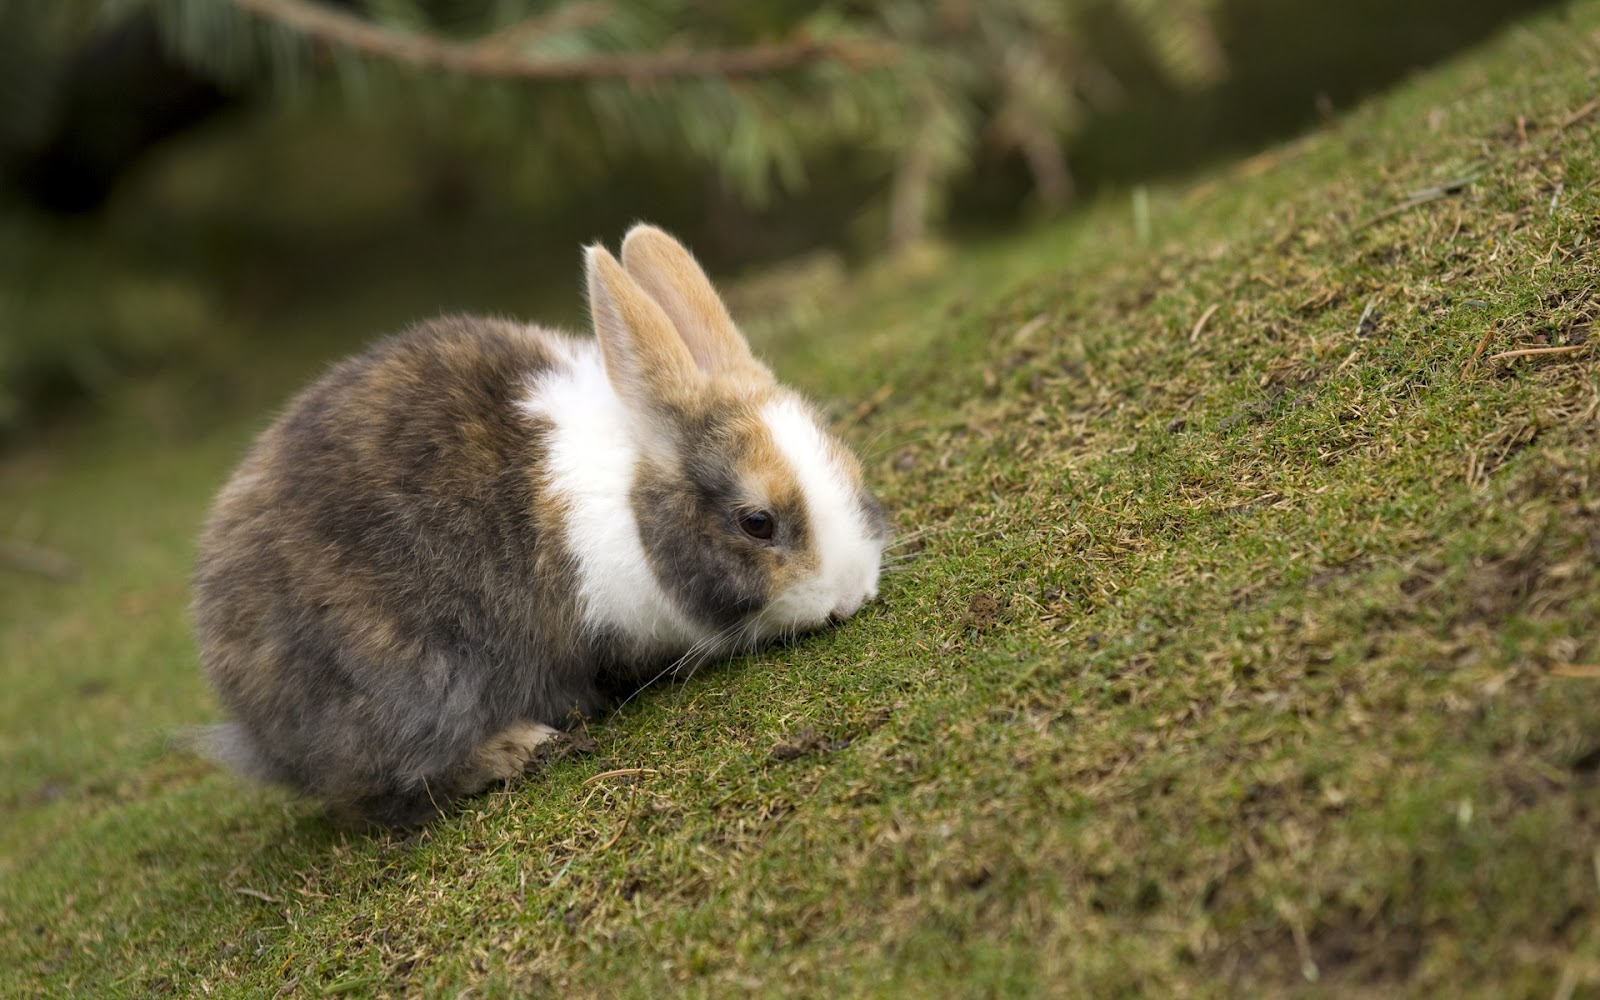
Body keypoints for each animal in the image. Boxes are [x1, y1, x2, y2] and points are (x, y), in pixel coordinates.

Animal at [191, 224, 888, 828]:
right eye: (757, 522)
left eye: (850, 464)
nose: (849, 597)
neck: (635, 502)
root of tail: (253, 722)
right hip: (409, 686)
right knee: (383, 790)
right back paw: (519, 747)